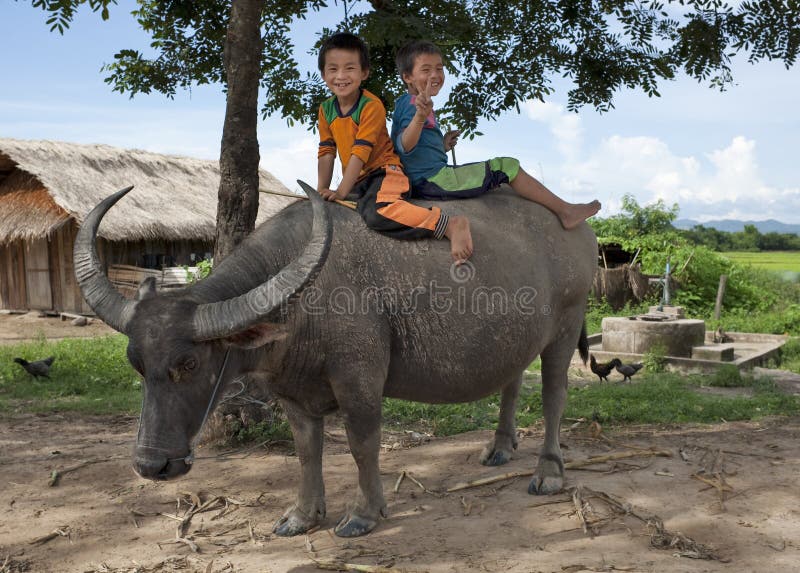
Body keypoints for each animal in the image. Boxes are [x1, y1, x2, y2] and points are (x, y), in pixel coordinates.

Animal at [75, 182, 596, 536]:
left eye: (190, 365)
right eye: (137, 365)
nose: (151, 465)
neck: (302, 302)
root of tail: (582, 231)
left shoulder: (359, 381)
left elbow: (363, 445)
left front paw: (364, 514)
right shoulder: (291, 392)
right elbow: (307, 451)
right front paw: (303, 516)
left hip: (567, 324)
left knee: (554, 394)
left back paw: (548, 472)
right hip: (520, 337)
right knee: (513, 379)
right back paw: (500, 447)